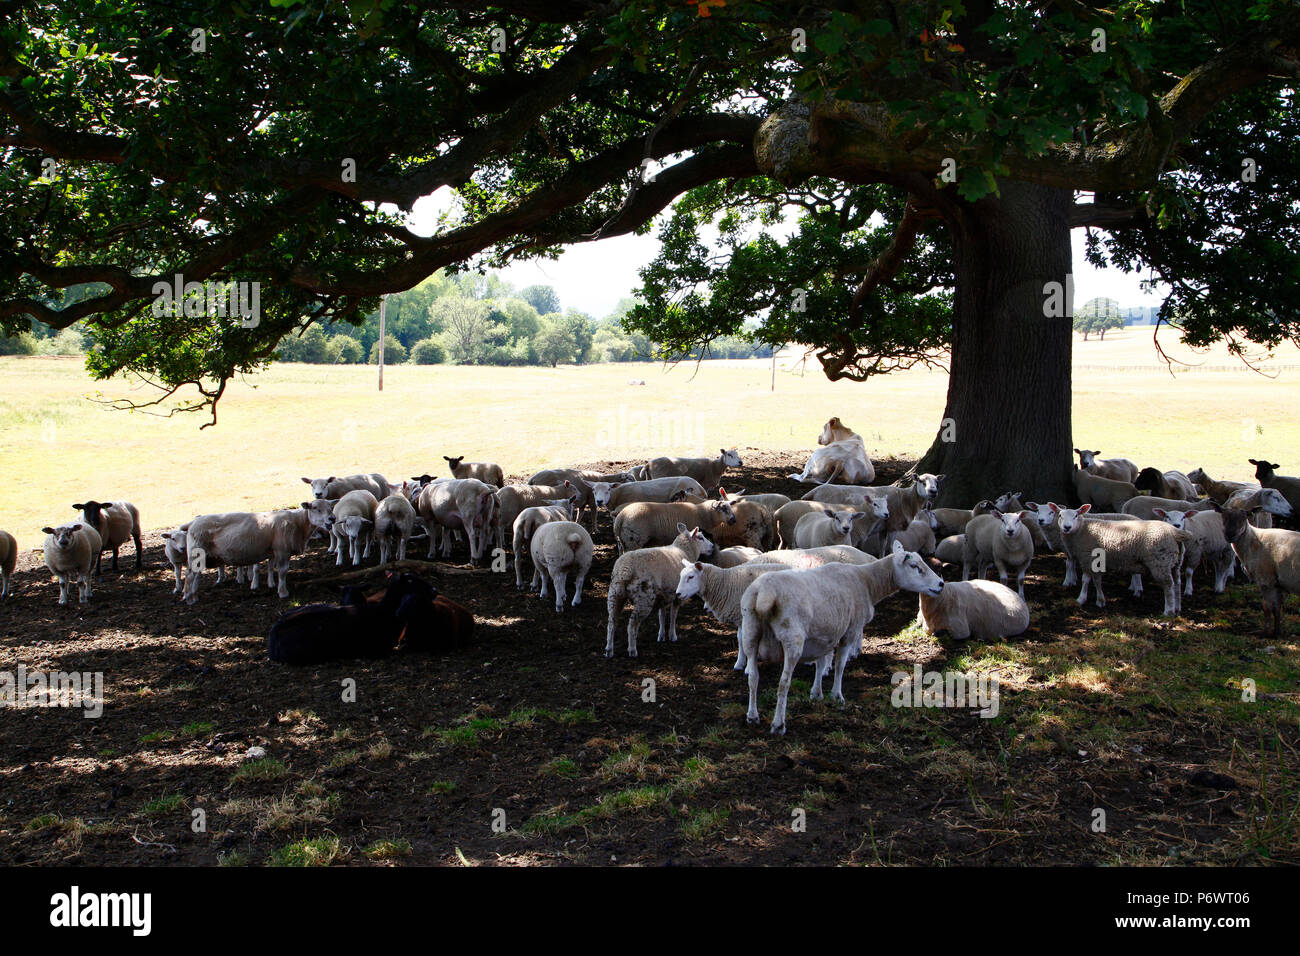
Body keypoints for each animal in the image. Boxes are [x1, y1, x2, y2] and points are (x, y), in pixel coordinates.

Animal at [182, 501, 334, 604]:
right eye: (316, 508)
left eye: (330, 508)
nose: (332, 519)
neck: (299, 524)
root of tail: (192, 523)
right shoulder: (282, 550)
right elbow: (283, 572)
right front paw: (283, 593)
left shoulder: (273, 551)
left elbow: (271, 568)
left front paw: (272, 585)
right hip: (196, 551)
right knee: (189, 574)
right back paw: (190, 599)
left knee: (194, 574)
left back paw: (193, 595)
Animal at [606, 523, 715, 657]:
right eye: (700, 538)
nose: (712, 547)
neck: (684, 551)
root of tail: (625, 569)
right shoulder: (677, 596)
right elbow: (673, 616)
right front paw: (672, 636)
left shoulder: (663, 595)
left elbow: (661, 616)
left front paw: (661, 636)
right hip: (644, 598)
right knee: (632, 625)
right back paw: (632, 650)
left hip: (615, 594)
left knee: (611, 623)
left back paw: (609, 650)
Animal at [739, 541, 944, 735]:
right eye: (915, 567)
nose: (941, 584)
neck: (867, 582)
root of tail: (764, 593)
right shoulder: (850, 631)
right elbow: (839, 666)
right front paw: (837, 696)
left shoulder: (825, 633)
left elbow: (821, 663)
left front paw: (816, 694)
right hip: (792, 638)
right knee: (783, 683)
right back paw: (778, 724)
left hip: (750, 631)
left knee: (753, 677)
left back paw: (752, 716)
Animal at [1051, 504, 1189, 616]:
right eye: (1060, 515)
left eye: (1076, 515)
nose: (1067, 527)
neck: (1081, 529)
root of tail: (1175, 532)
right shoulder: (1097, 561)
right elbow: (1097, 580)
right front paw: (1100, 601)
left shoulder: (1087, 558)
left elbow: (1086, 580)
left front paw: (1081, 599)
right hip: (1175, 562)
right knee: (1177, 583)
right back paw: (1177, 608)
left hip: (1160, 562)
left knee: (1168, 585)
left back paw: (1168, 611)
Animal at [1220, 507, 1300, 637]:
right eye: (1223, 517)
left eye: (1243, 518)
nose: (1230, 535)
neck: (1252, 540)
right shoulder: (1276, 583)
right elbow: (1277, 608)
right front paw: (1277, 633)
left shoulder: (1265, 579)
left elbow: (1267, 607)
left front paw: (1266, 633)